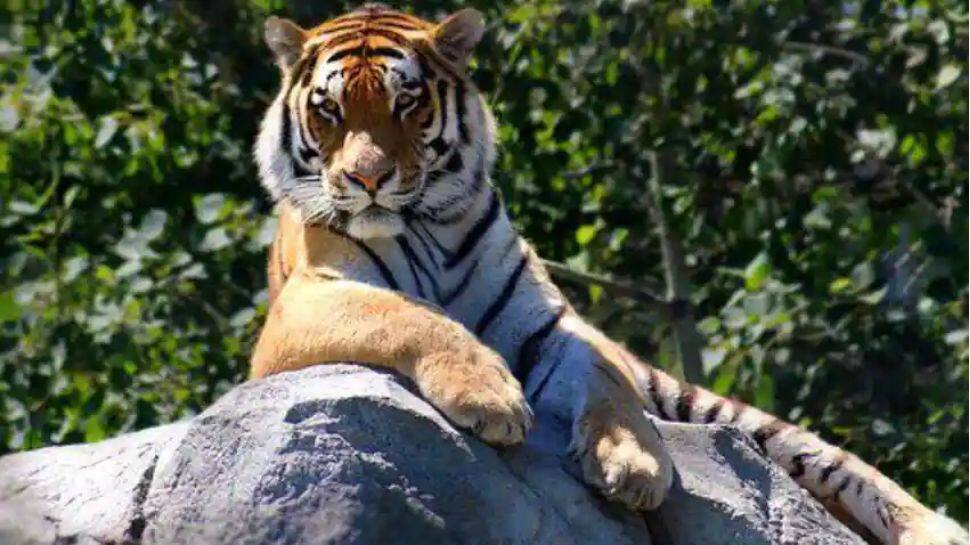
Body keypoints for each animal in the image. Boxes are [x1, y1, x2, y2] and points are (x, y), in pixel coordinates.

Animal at [249, 5, 968, 544]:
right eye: (330, 111)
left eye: (406, 103)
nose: (366, 180)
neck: (428, 223)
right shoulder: (306, 304)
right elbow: (408, 314)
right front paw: (490, 398)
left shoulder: (551, 325)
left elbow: (605, 378)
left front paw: (634, 463)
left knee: (829, 459)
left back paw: (934, 528)